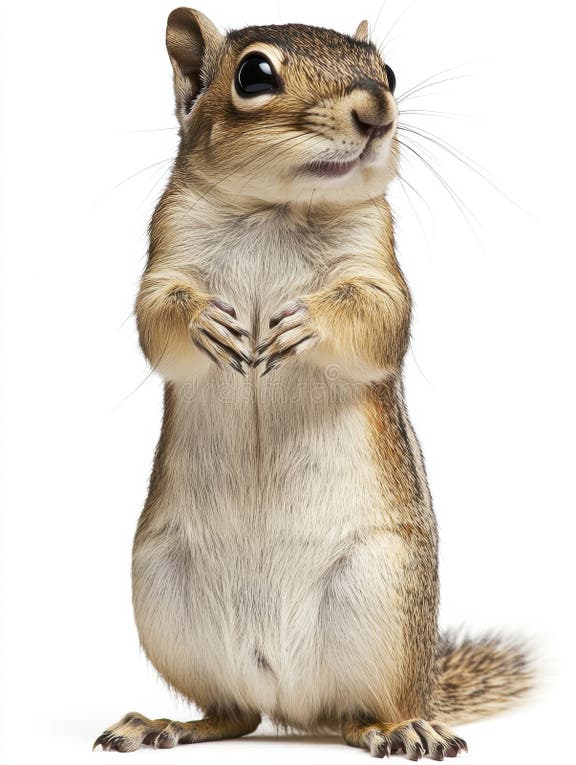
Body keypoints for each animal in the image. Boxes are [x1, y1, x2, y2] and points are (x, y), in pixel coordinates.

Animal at [94, 7, 533, 759]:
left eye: (388, 72)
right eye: (254, 75)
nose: (378, 110)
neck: (277, 207)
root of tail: (290, 700)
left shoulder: (379, 263)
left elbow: (378, 318)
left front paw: (306, 324)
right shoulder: (165, 253)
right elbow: (158, 318)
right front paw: (208, 323)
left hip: (382, 602)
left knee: (361, 711)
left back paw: (403, 727)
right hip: (164, 598)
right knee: (233, 712)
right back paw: (166, 724)